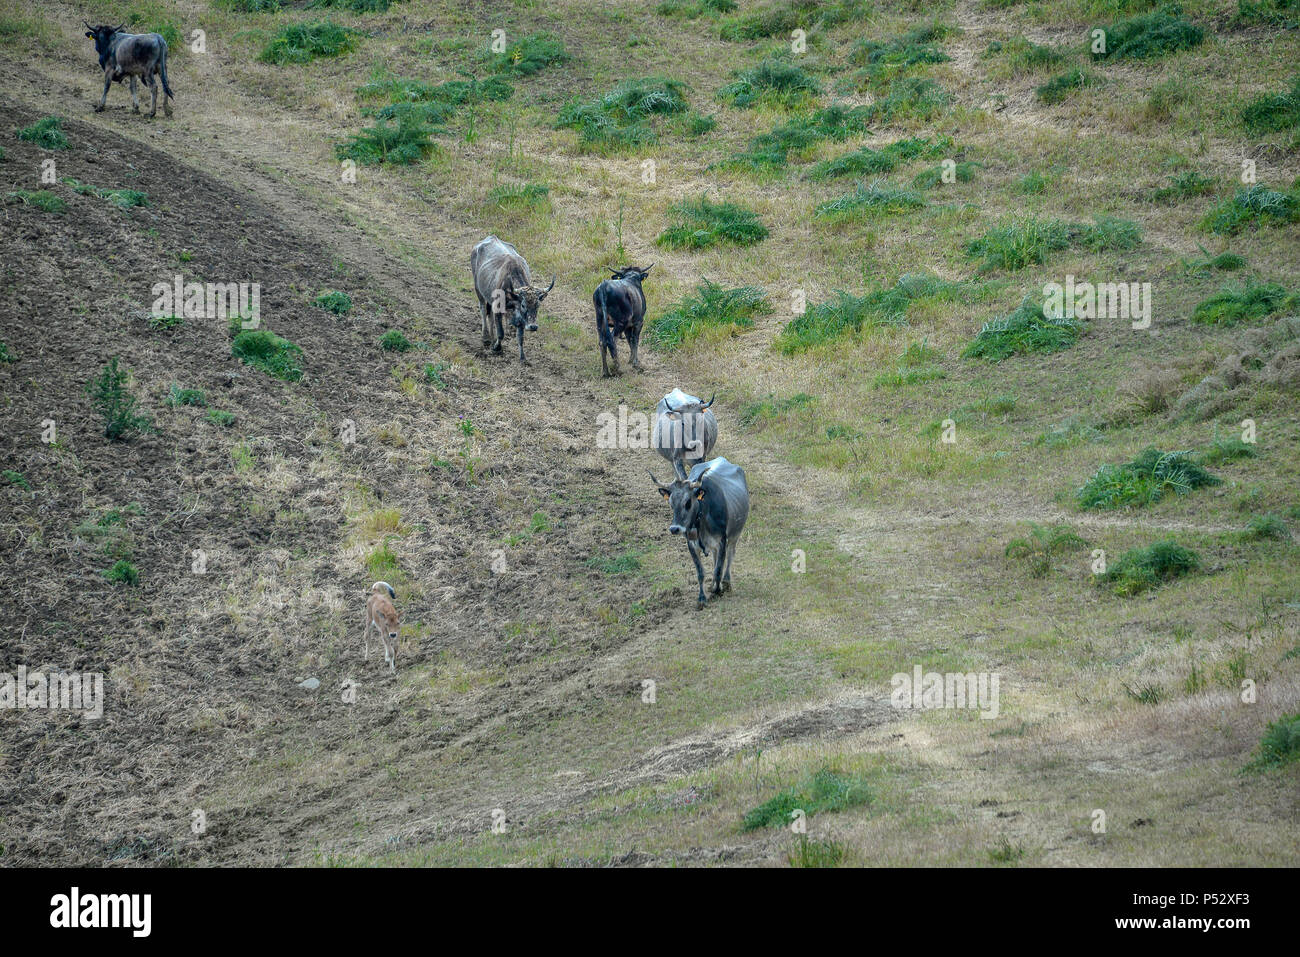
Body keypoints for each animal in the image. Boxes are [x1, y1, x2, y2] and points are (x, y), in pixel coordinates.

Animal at [470, 235, 554, 363]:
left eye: (538, 305)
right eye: (523, 305)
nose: (533, 326)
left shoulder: (520, 320)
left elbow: (520, 338)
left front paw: (523, 358)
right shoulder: (498, 310)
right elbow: (501, 333)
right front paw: (497, 348)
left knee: (489, 315)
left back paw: (491, 337)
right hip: (478, 289)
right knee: (483, 309)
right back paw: (486, 338)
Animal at [649, 457, 750, 610]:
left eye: (688, 502)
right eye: (671, 503)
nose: (674, 529)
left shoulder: (722, 540)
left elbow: (719, 568)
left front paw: (717, 591)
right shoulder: (692, 544)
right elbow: (701, 572)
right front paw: (702, 598)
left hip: (735, 534)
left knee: (730, 555)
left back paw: (726, 582)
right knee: (715, 558)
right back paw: (713, 584)